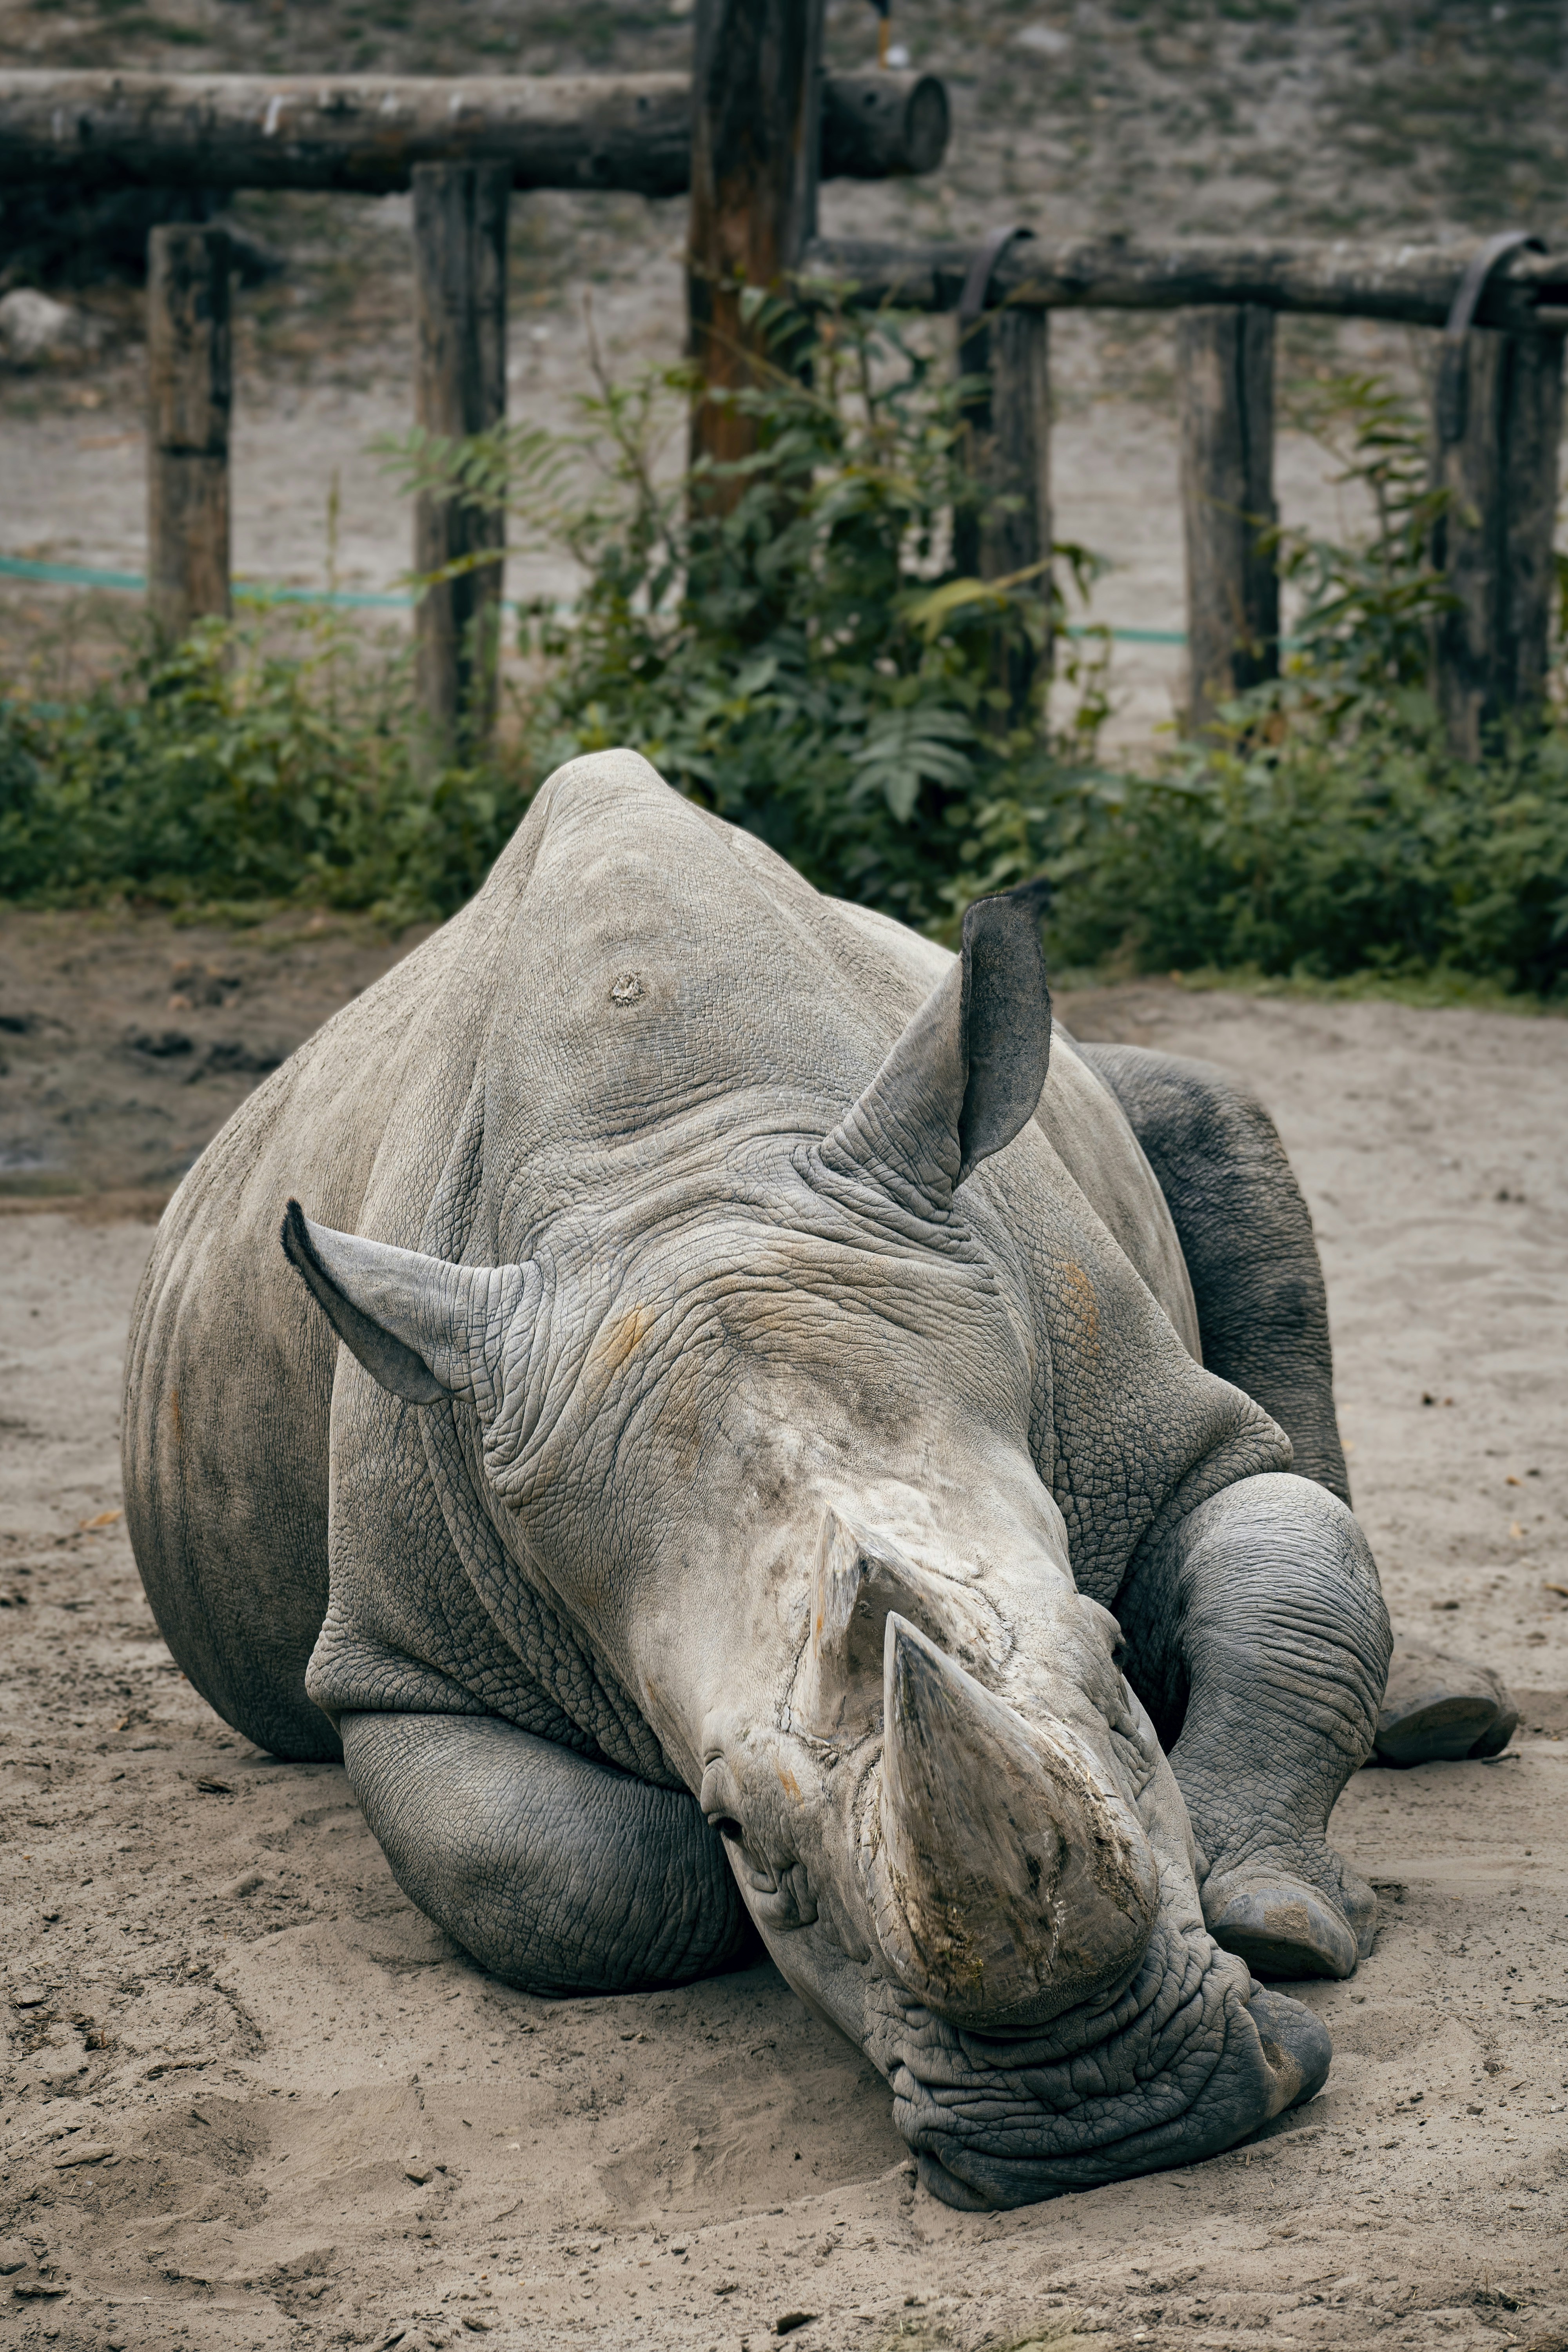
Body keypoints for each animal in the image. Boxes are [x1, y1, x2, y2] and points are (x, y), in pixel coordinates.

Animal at [122, 751, 1514, 2211]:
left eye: (1117, 1672)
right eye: (739, 1829)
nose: (1111, 2115)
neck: (670, 1170)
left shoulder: (1152, 1427)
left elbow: (1295, 1579)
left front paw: (1275, 1915)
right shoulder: (409, 1652)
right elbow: (546, 1867)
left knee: (1217, 1125)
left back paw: (1446, 1715)